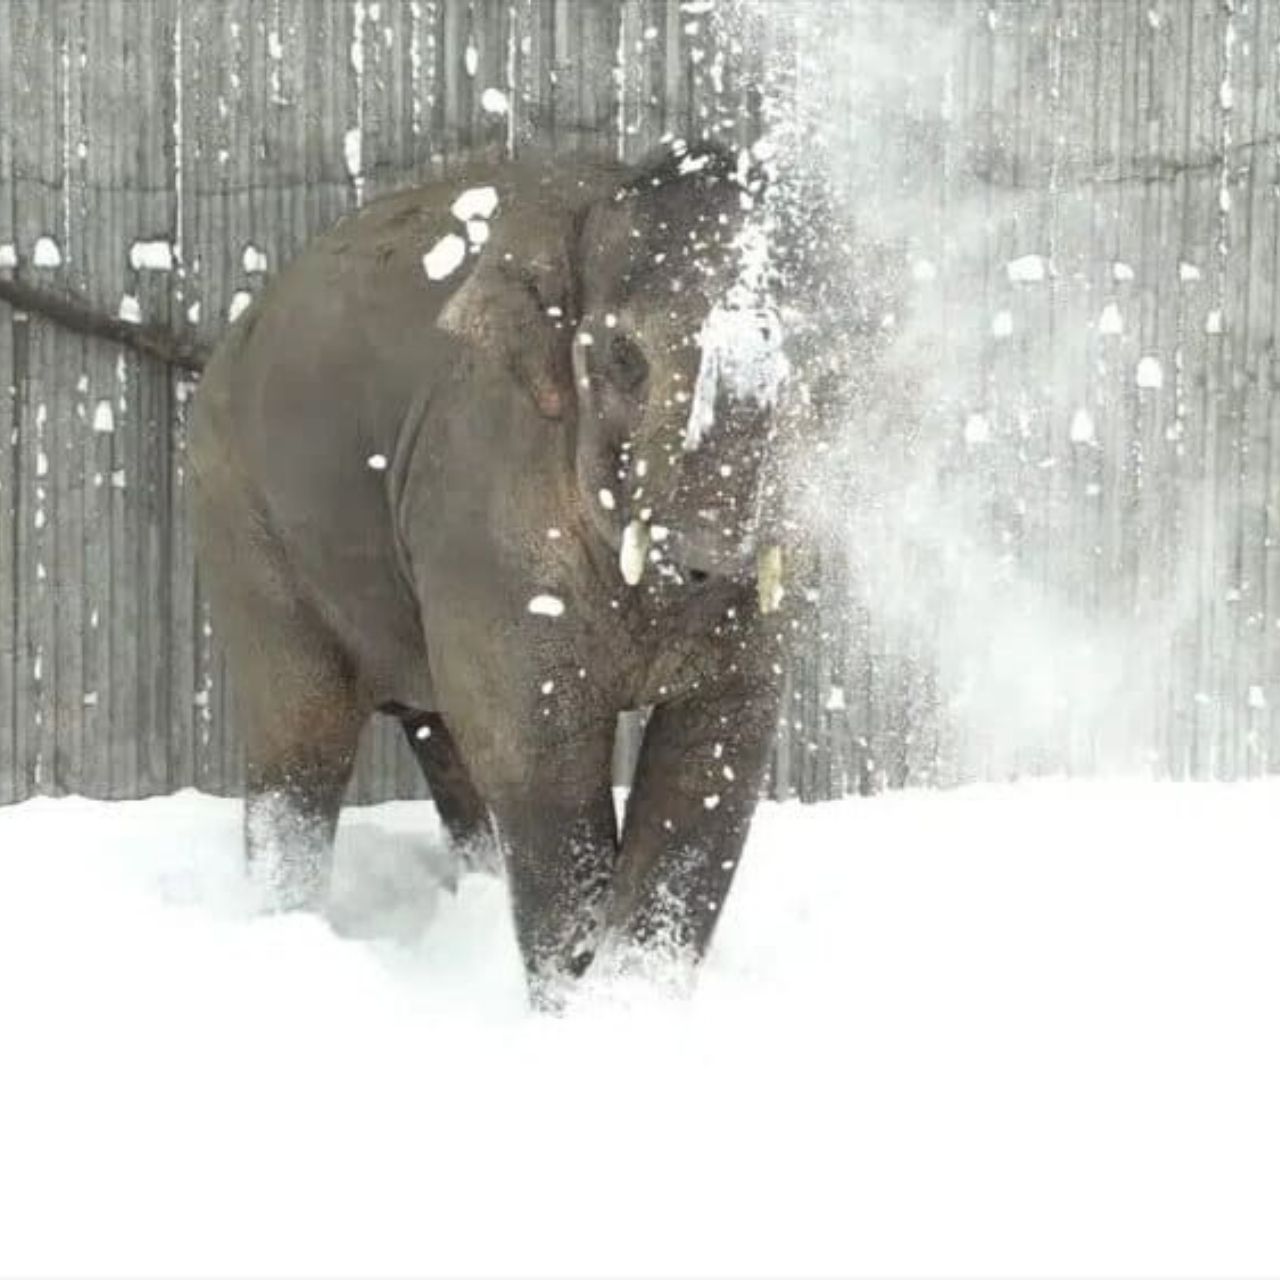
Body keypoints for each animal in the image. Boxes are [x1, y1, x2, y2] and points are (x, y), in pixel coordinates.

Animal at [1, 140, 809, 1007]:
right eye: (625, 358)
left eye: (802, 360)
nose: (706, 564)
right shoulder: (489, 506)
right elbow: (538, 752)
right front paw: (573, 1010)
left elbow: (716, 748)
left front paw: (632, 1007)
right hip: (242, 518)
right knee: (304, 737)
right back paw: (289, 928)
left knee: (441, 738)